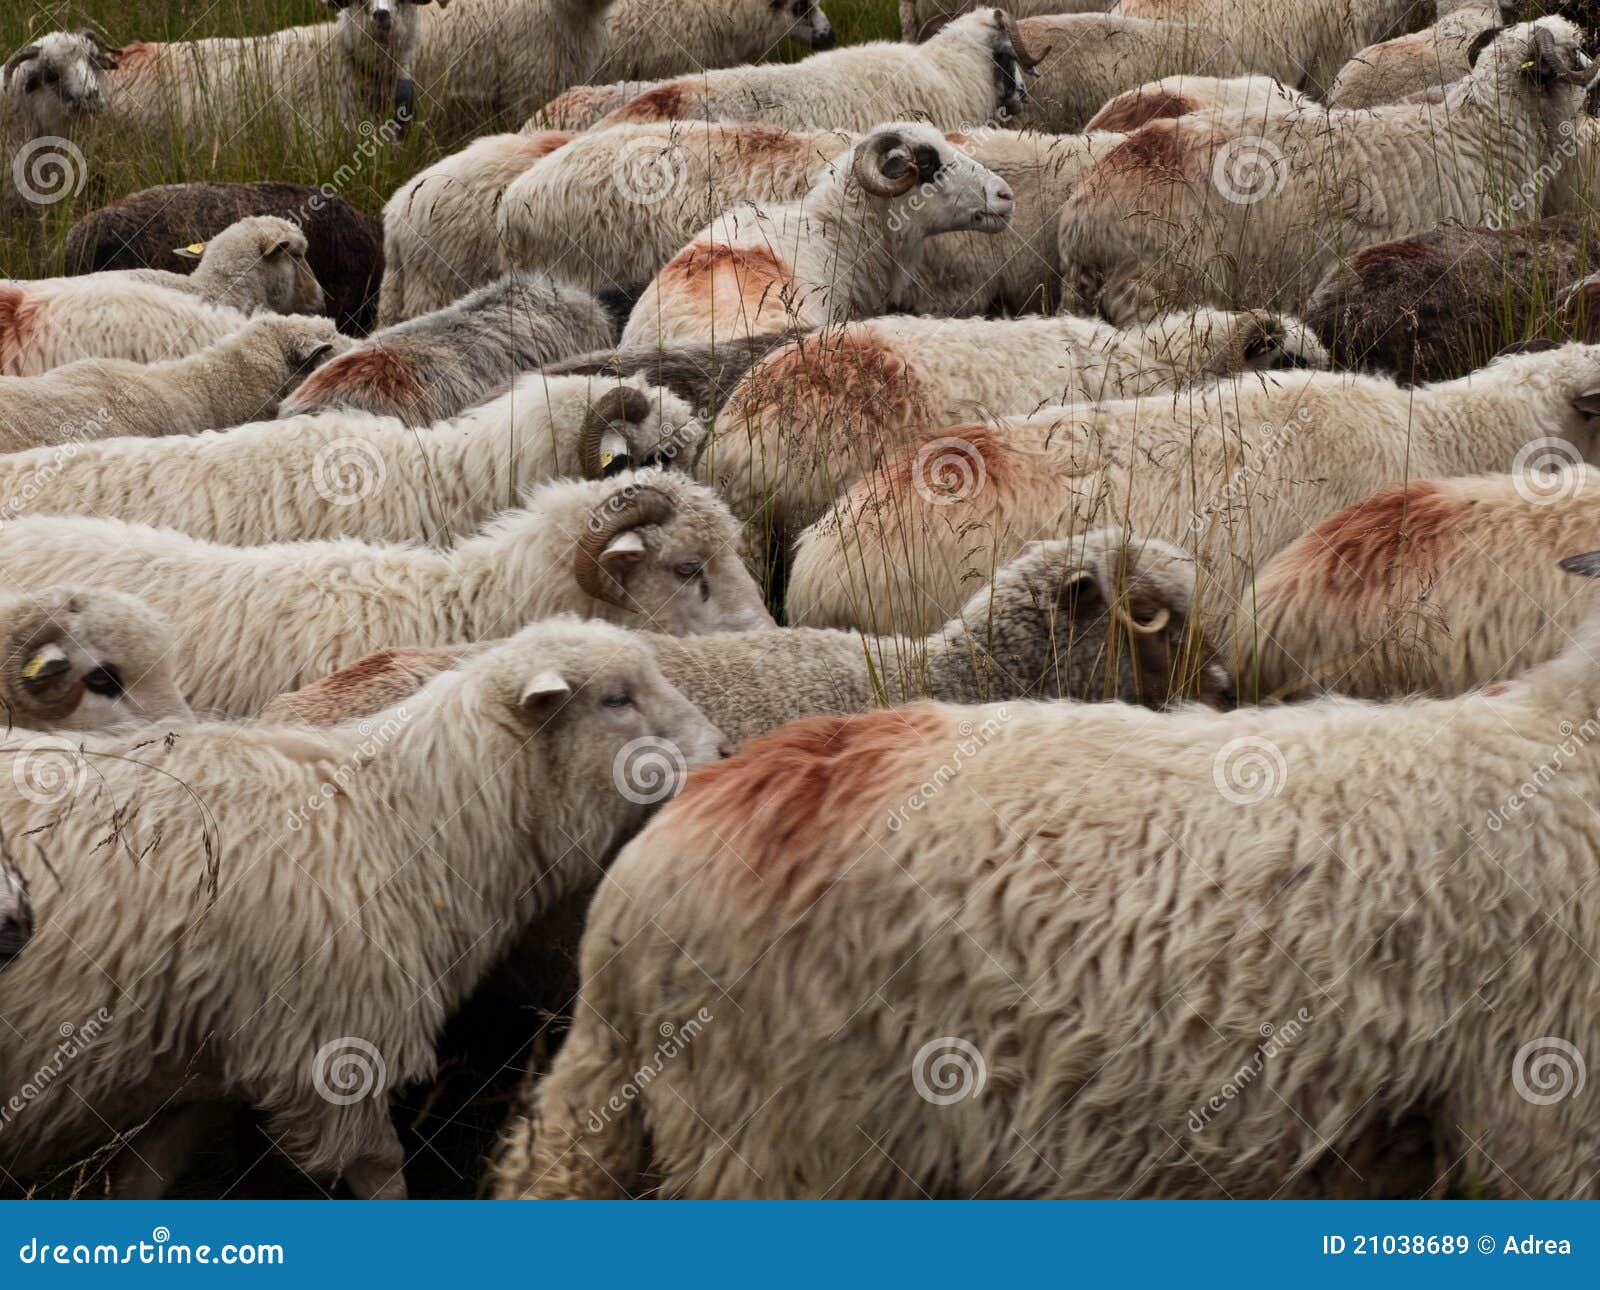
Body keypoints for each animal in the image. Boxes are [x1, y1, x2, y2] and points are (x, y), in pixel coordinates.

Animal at [0, 616, 726, 1199]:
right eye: (616, 698)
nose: (722, 753)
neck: (401, 817)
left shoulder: (204, 1058)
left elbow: (146, 1174)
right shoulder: (334, 1046)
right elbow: (381, 1169)